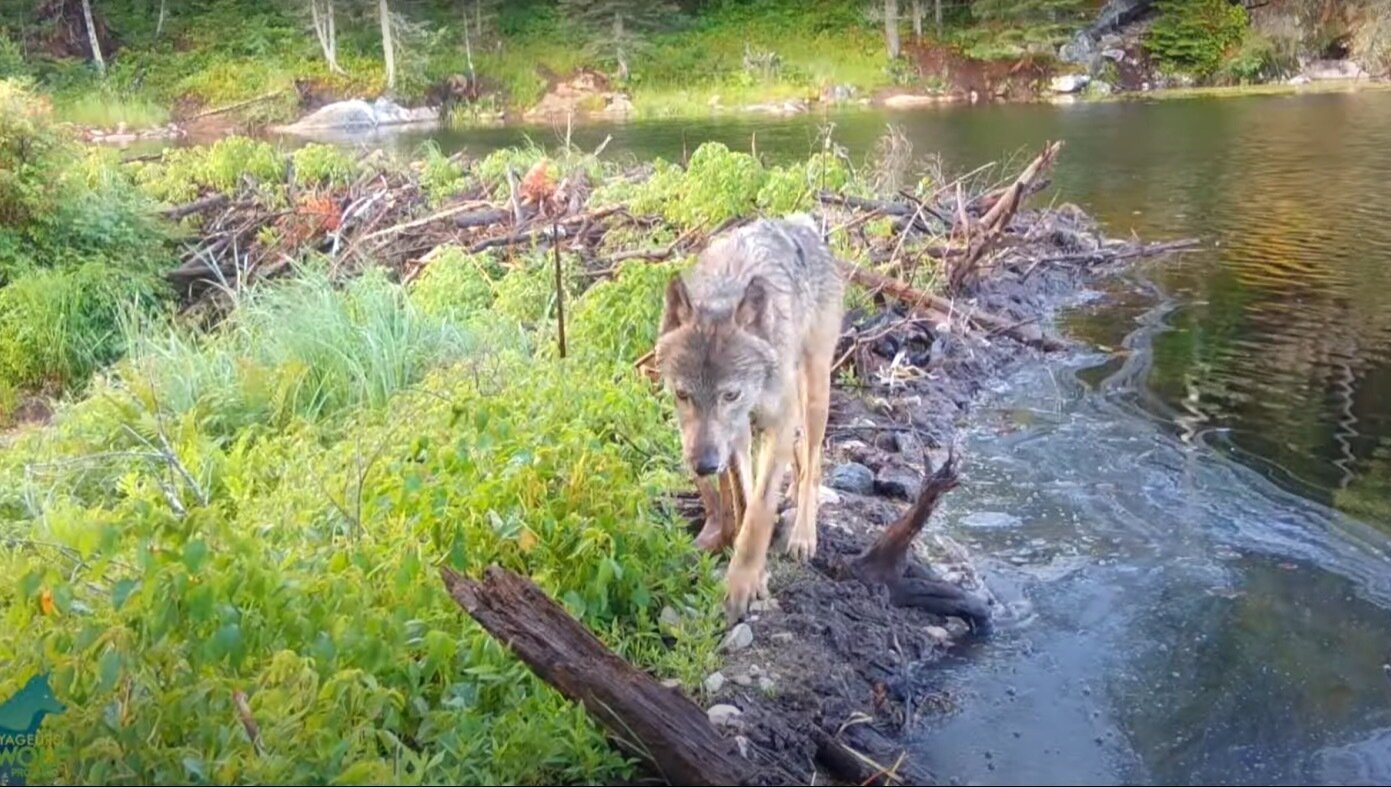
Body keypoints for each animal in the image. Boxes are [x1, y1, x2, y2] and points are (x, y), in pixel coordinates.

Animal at [656, 214, 844, 619]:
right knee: (801, 463)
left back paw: (803, 535)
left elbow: (759, 510)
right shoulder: (735, 435)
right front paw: (755, 578)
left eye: (731, 394)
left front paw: (740, 583)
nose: (704, 466)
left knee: (814, 460)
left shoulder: (778, 423)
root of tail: (800, 224)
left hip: (815, 391)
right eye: (682, 395)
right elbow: (744, 499)